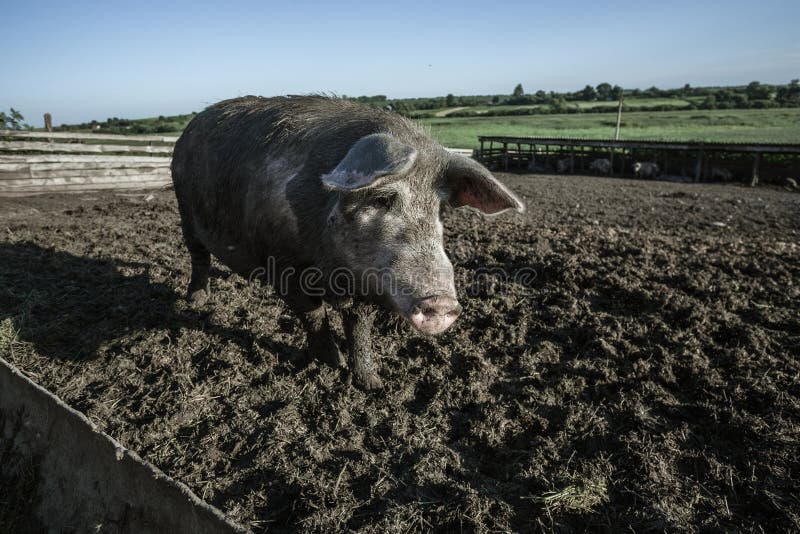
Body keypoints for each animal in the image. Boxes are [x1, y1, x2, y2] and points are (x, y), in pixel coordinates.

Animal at [171, 96, 524, 390]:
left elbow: (359, 328)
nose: (441, 302)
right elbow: (314, 315)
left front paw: (372, 384)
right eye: (382, 199)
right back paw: (196, 301)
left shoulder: (366, 284)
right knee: (198, 256)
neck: (337, 273)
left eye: (439, 209)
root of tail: (189, 127)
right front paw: (333, 363)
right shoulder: (284, 266)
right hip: (185, 208)